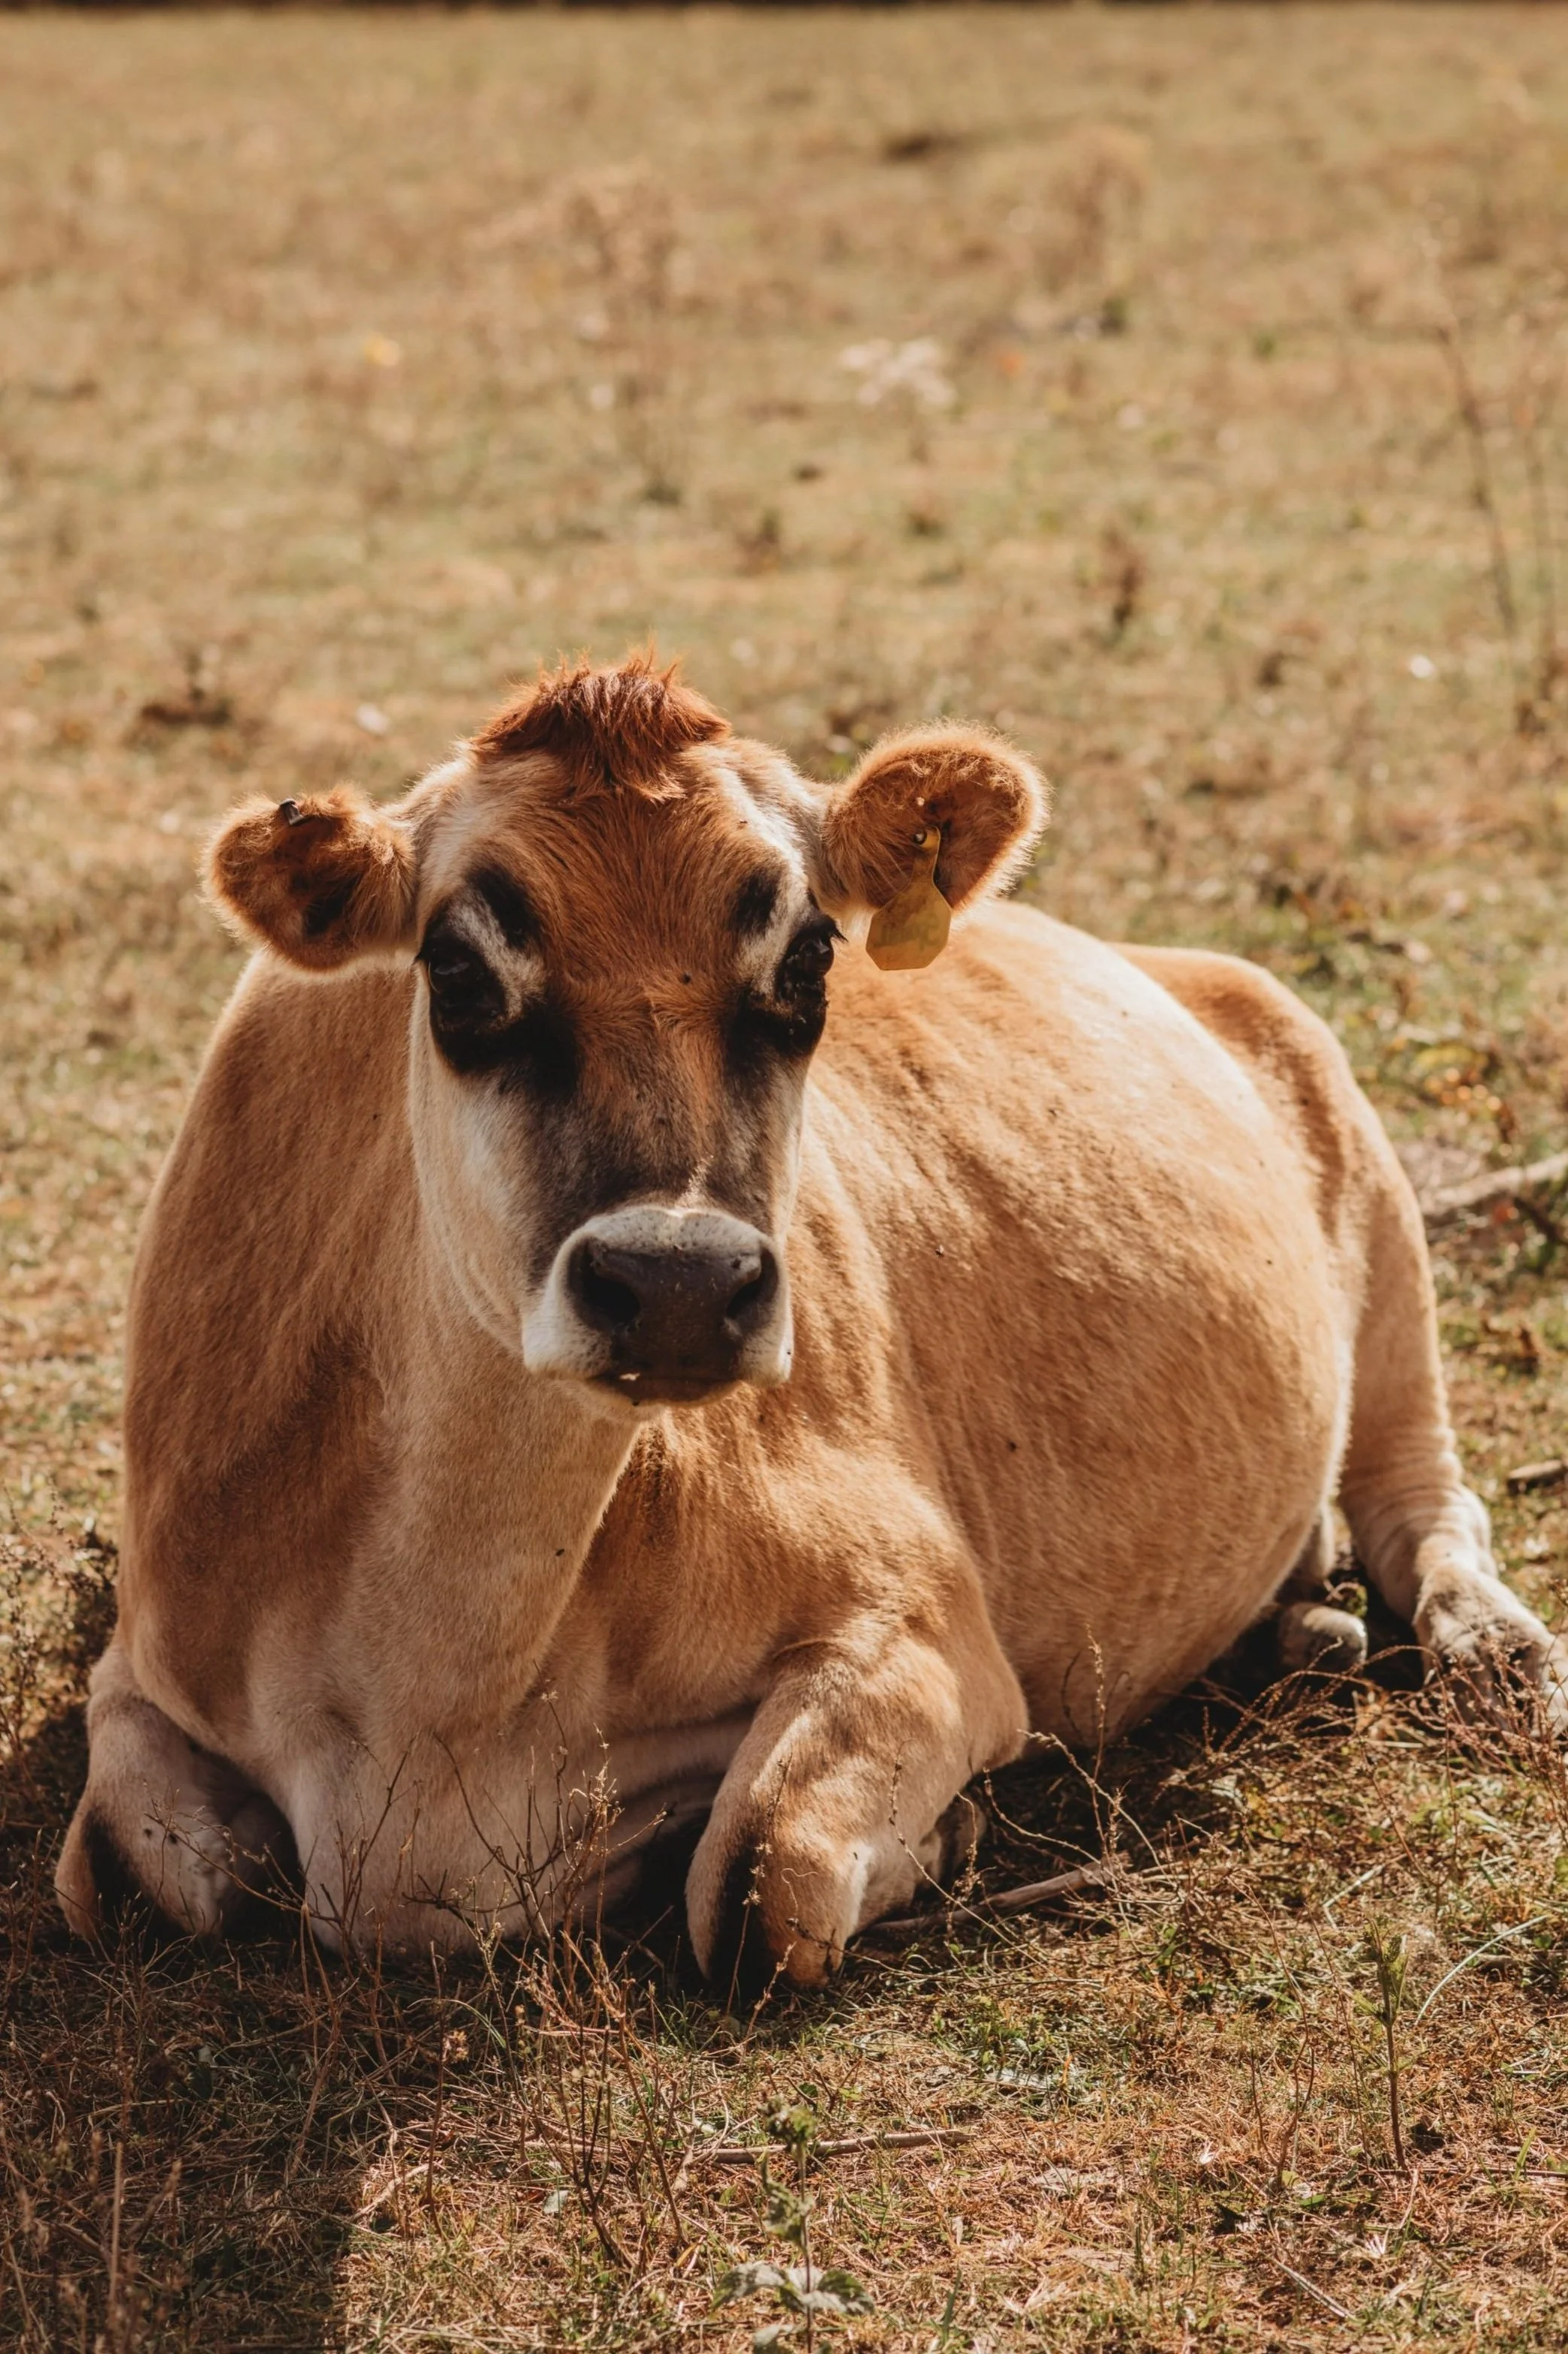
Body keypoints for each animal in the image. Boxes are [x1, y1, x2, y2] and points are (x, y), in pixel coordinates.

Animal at [57, 656, 1567, 1990]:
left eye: (808, 957)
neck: (427, 1701)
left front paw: (942, 1836)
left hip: (1372, 1207)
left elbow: (759, 1878)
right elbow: (138, 1872)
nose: (674, 1281)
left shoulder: (928, 1628)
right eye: (458, 966)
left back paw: (1494, 1653)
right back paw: (1302, 1627)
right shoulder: (138, 1669)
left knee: (1425, 1506)